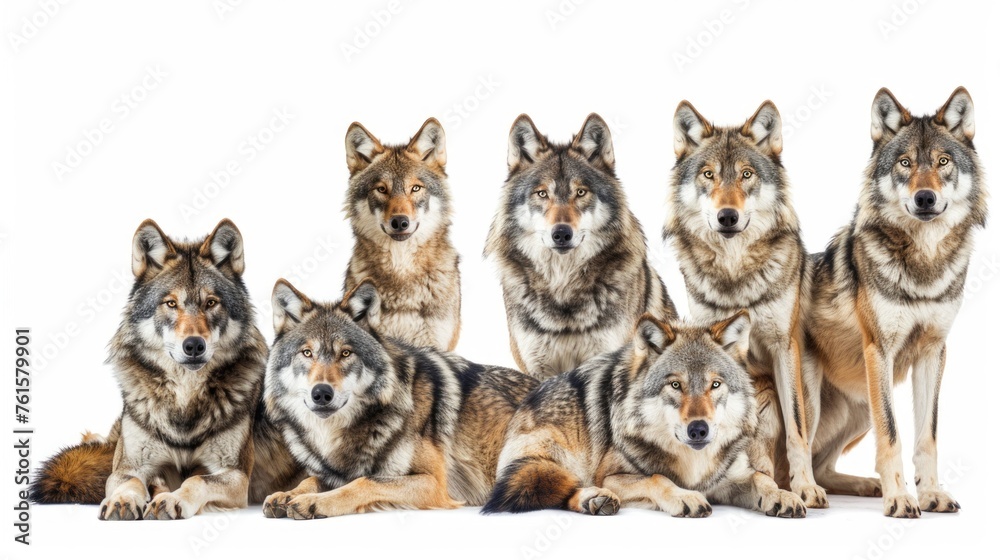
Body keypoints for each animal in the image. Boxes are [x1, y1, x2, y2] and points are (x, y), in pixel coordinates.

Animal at [30, 219, 268, 520]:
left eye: (211, 303)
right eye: (171, 303)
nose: (194, 345)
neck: (184, 401)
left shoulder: (236, 475)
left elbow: (196, 479)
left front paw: (172, 499)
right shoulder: (126, 467)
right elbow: (130, 481)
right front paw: (124, 500)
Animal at [259, 279, 539, 519]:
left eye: (346, 353)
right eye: (307, 353)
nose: (321, 393)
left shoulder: (432, 482)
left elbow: (363, 482)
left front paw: (314, 502)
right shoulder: (335, 472)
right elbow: (311, 479)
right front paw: (287, 495)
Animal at [482, 311, 805, 518]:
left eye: (715, 385)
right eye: (675, 385)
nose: (698, 429)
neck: (692, 464)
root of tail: (528, 399)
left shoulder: (727, 478)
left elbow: (762, 478)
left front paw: (784, 495)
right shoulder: (610, 476)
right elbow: (657, 478)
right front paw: (684, 496)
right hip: (554, 462)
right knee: (553, 488)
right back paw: (594, 499)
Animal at [665, 100, 827, 507]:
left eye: (746, 174)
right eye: (708, 174)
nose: (728, 216)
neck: (735, 271)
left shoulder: (785, 347)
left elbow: (797, 432)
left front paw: (805, 487)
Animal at [805, 87, 986, 517]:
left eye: (942, 162)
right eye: (905, 163)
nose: (925, 198)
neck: (923, 264)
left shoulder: (934, 352)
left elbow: (927, 437)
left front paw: (931, 493)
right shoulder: (880, 351)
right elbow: (893, 435)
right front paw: (900, 498)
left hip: (858, 411)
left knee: (822, 465)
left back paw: (863, 486)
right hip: (810, 399)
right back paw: (804, 493)